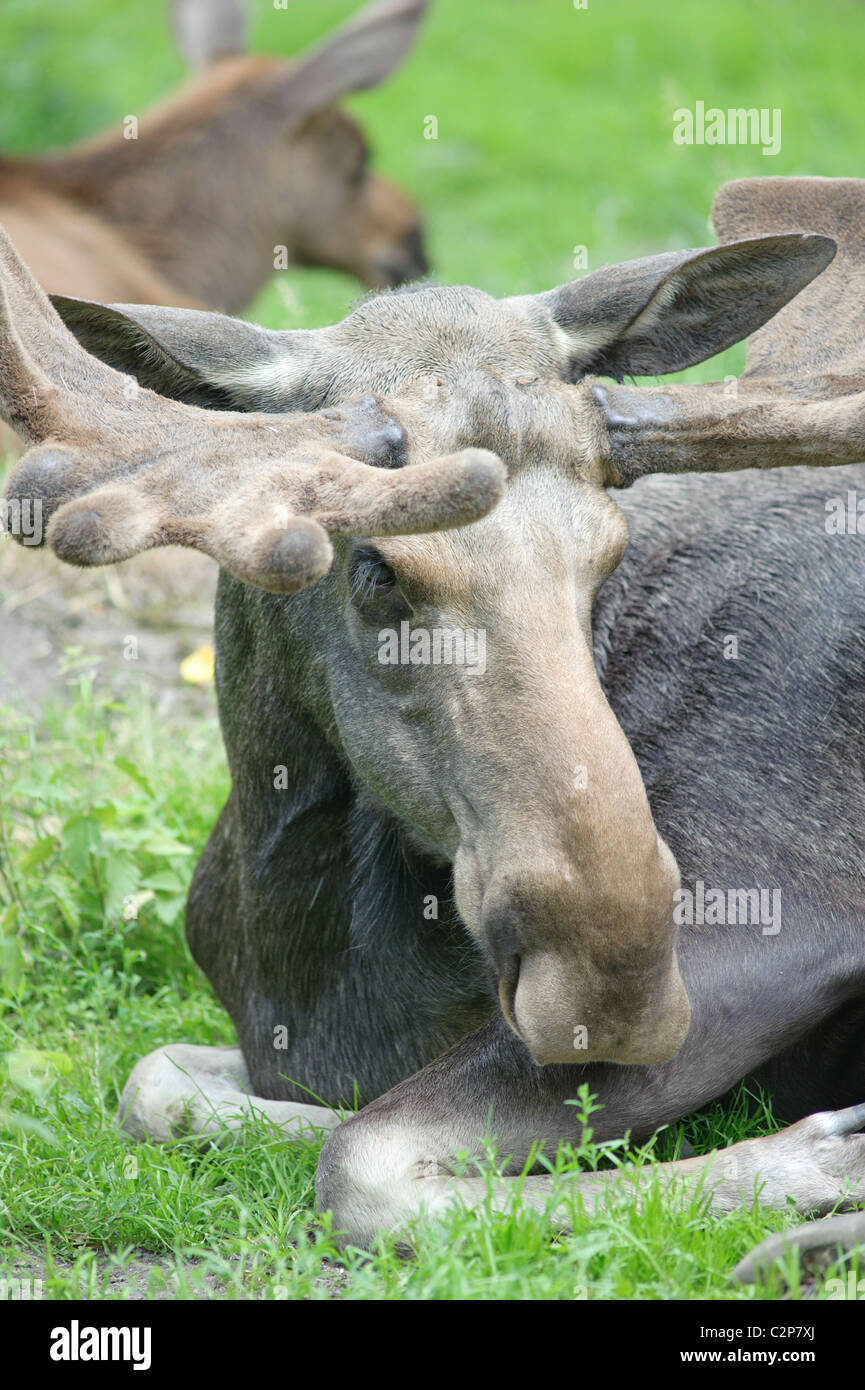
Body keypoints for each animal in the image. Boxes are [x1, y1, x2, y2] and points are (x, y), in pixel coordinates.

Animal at [2, 175, 865, 1284]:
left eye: (606, 554)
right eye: (375, 569)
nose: (611, 979)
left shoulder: (778, 910)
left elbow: (357, 1159)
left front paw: (810, 1167)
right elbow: (166, 1088)